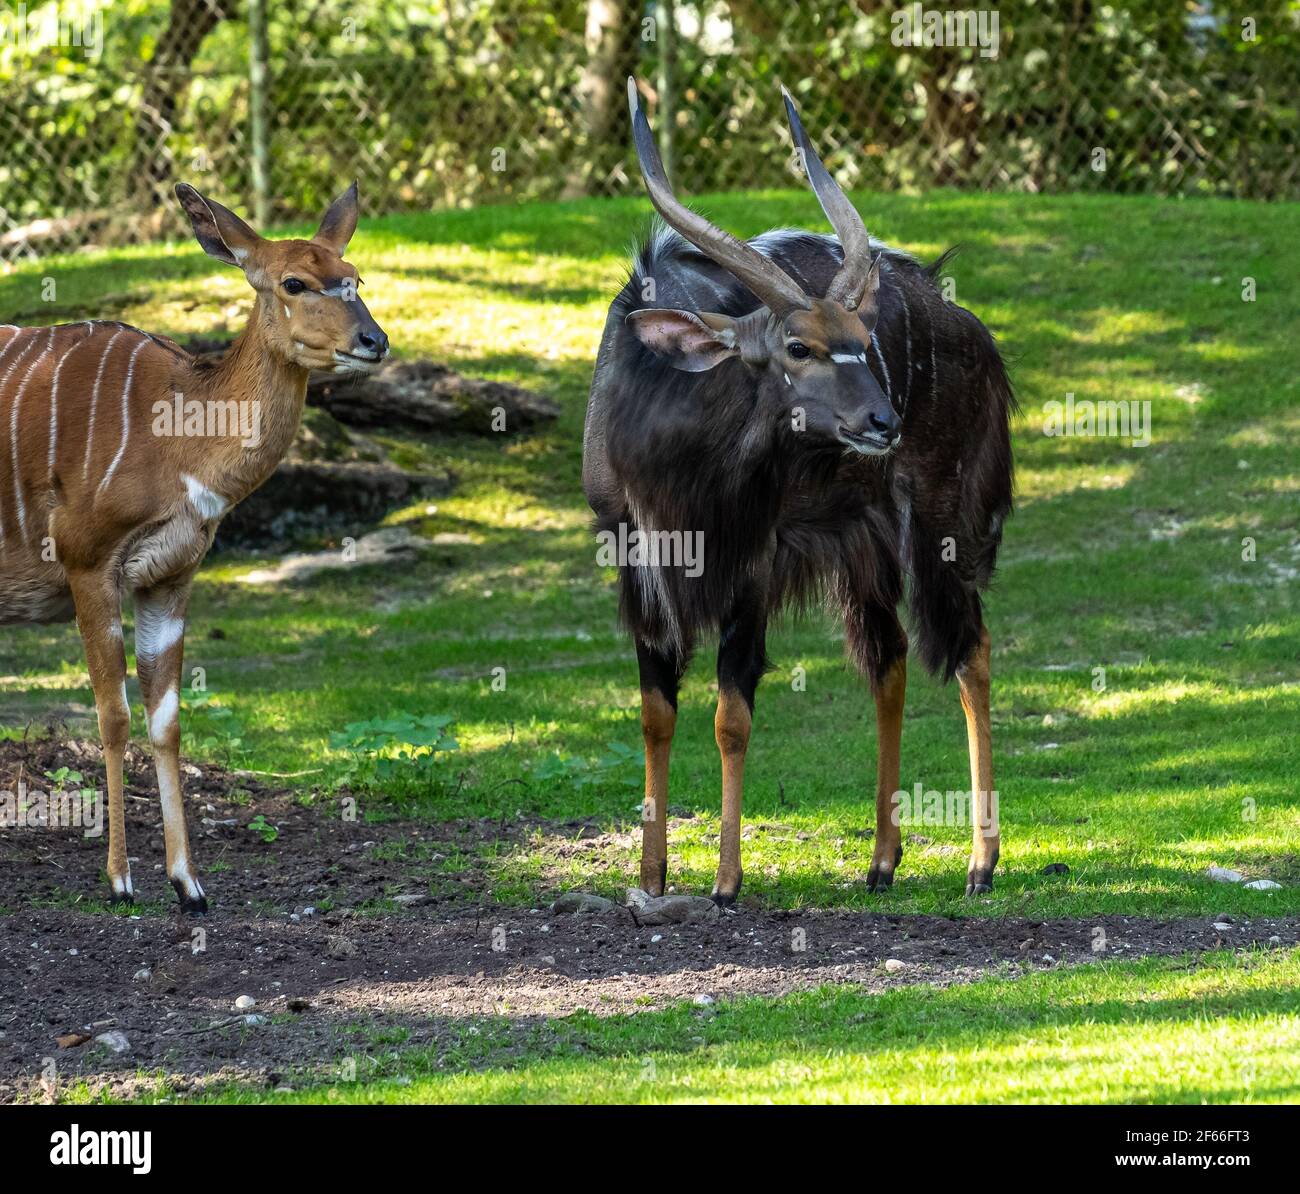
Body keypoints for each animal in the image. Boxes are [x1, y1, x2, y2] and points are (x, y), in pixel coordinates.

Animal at [0, 182, 389, 912]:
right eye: (294, 282)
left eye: (354, 277)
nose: (374, 341)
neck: (177, 438)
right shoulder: (87, 564)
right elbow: (113, 716)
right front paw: (120, 880)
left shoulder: (170, 576)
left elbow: (167, 721)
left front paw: (189, 884)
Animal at [583, 81, 1015, 904]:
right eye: (797, 346)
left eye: (861, 340)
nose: (883, 420)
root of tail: (974, 331)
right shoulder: (636, 561)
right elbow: (656, 712)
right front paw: (652, 875)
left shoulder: (753, 562)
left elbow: (731, 715)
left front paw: (726, 881)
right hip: (863, 543)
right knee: (890, 656)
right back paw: (881, 861)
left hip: (939, 522)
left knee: (970, 648)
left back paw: (982, 862)